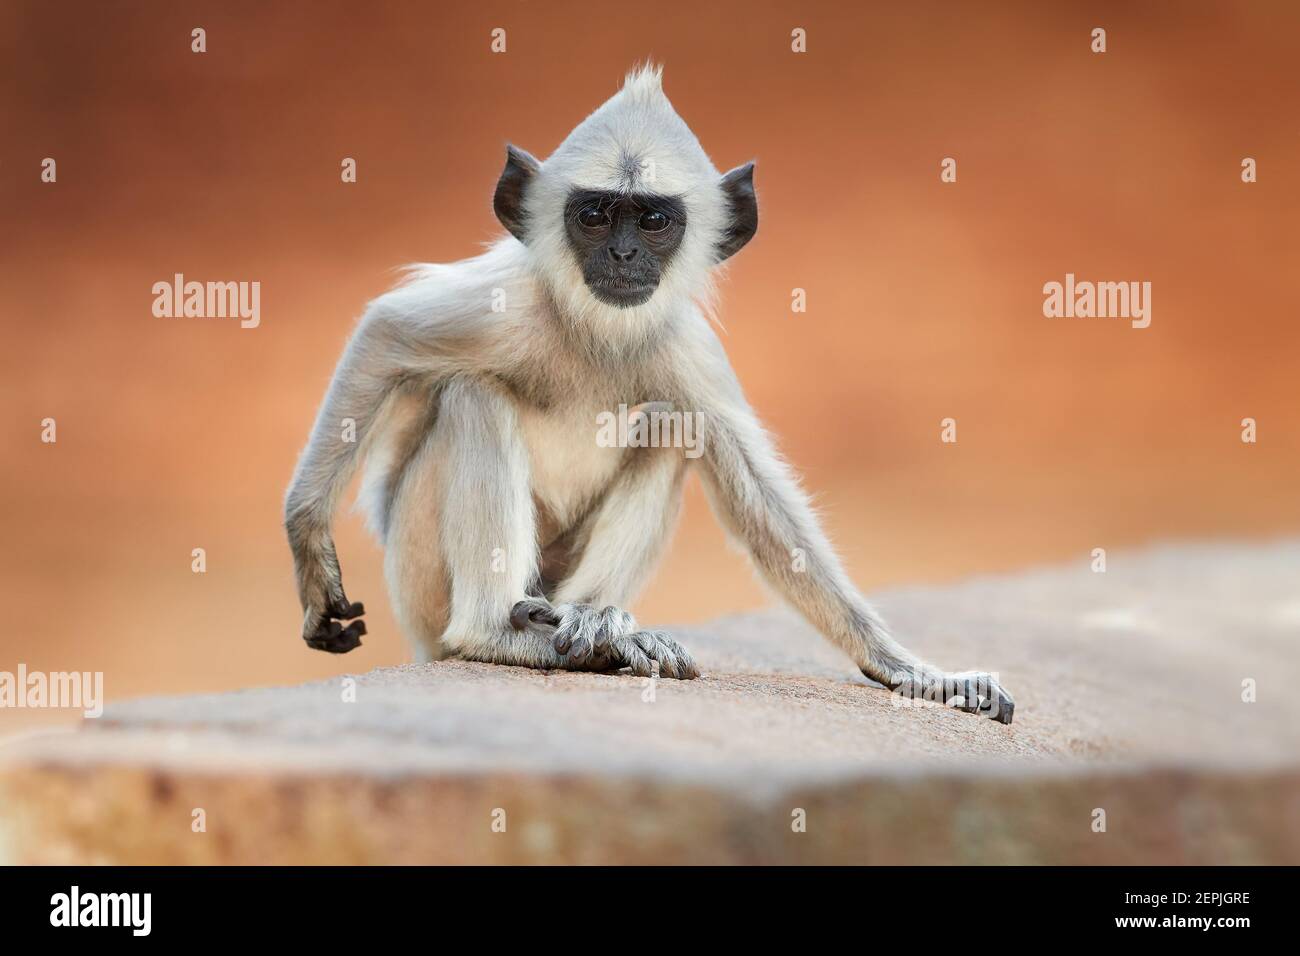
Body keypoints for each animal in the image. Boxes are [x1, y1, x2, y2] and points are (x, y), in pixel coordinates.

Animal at [283, 65, 1014, 723]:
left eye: (654, 221)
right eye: (596, 215)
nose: (625, 256)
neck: (595, 333)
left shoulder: (686, 349)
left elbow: (759, 500)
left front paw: (908, 669)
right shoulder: (505, 305)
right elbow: (385, 334)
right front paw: (311, 549)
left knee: (672, 427)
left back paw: (597, 629)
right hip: (421, 589)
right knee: (473, 398)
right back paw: (499, 633)